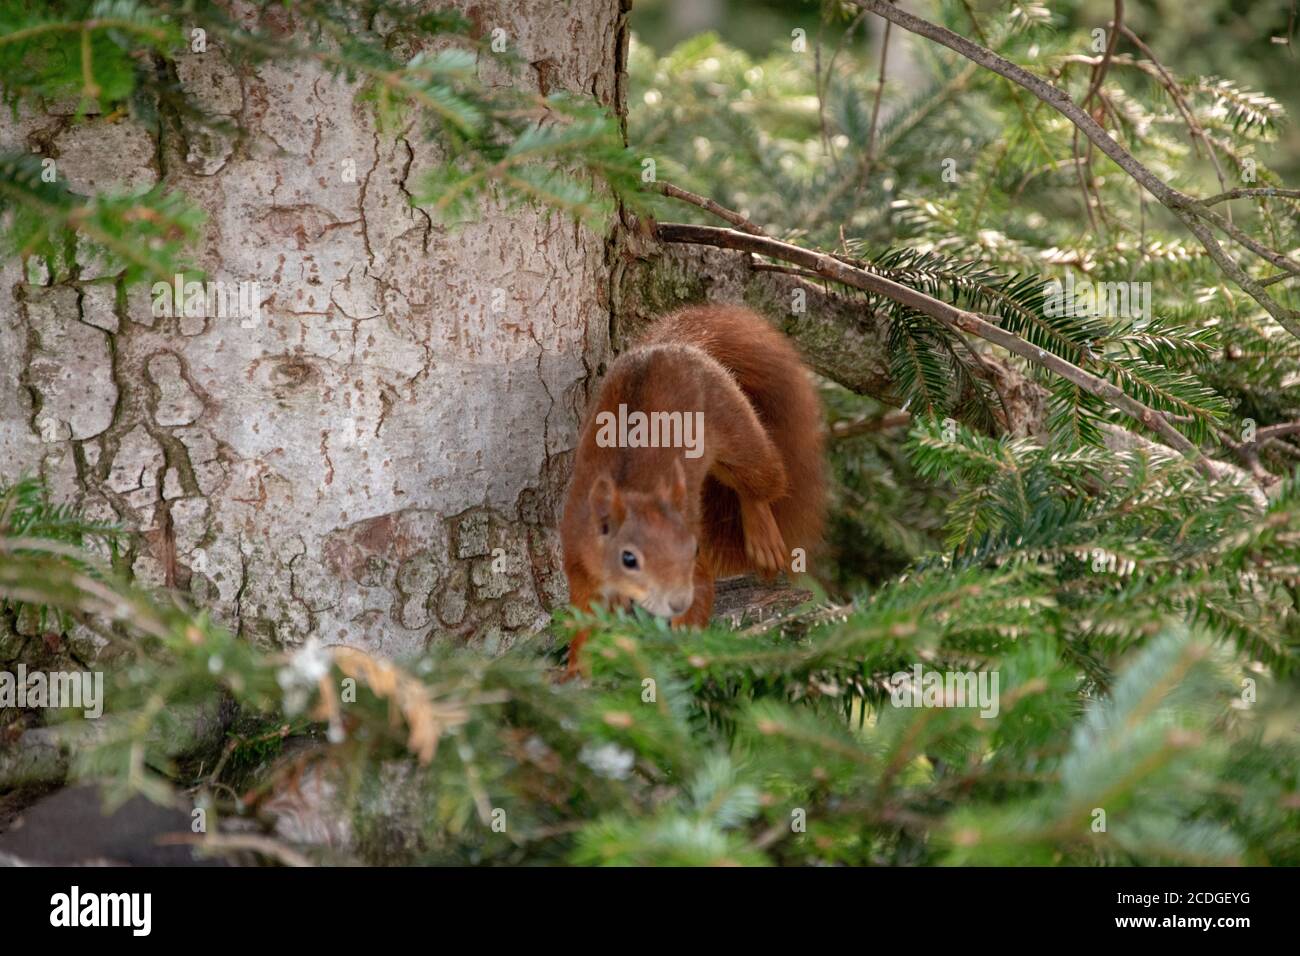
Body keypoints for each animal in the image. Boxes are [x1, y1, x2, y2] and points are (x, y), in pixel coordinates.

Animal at [559, 303, 826, 676]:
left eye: (695, 548)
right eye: (629, 558)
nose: (677, 600)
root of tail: (676, 343)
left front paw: (686, 641)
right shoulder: (578, 554)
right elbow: (584, 615)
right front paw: (576, 666)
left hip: (736, 428)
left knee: (761, 483)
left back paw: (763, 538)